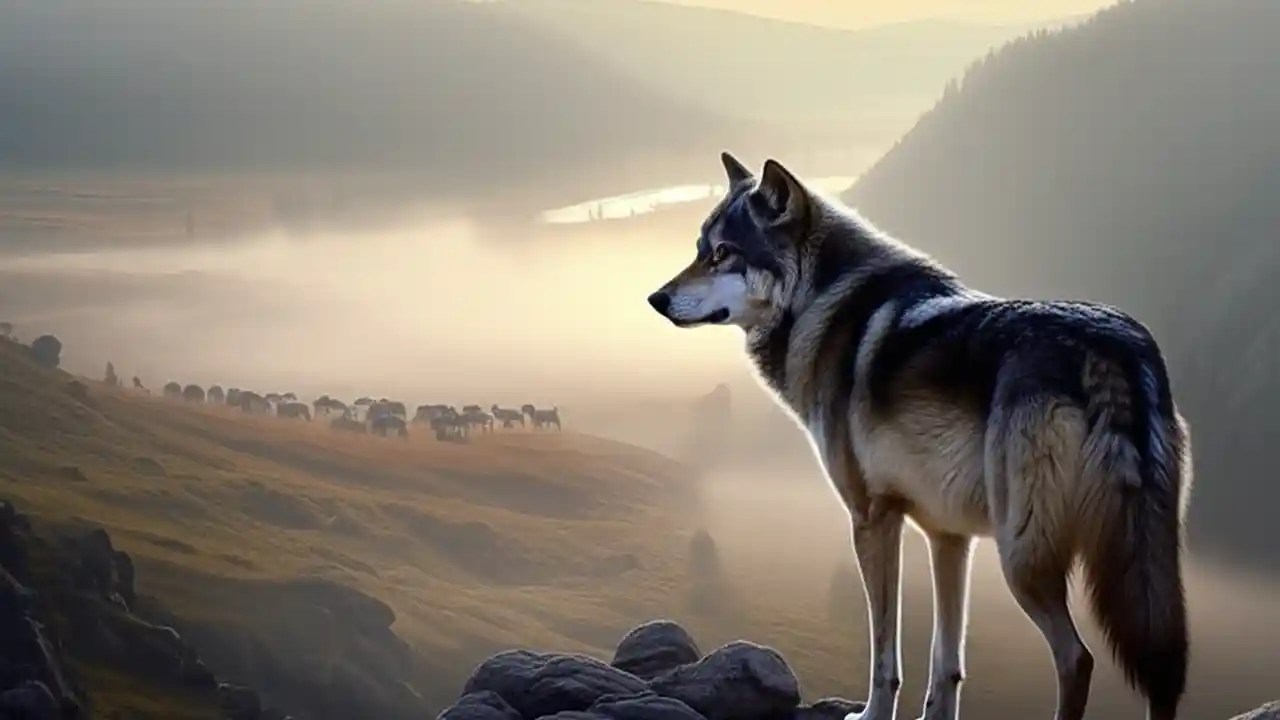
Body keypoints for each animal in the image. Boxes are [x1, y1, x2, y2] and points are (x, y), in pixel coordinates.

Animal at [648, 153, 1192, 720]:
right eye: (699, 250)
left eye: (722, 254)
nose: (655, 298)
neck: (819, 304)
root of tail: (1115, 351)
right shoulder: (948, 536)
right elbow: (946, 663)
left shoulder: (872, 519)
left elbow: (884, 655)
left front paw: (870, 714)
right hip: (1144, 569)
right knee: (1160, 674)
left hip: (1023, 561)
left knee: (1077, 658)